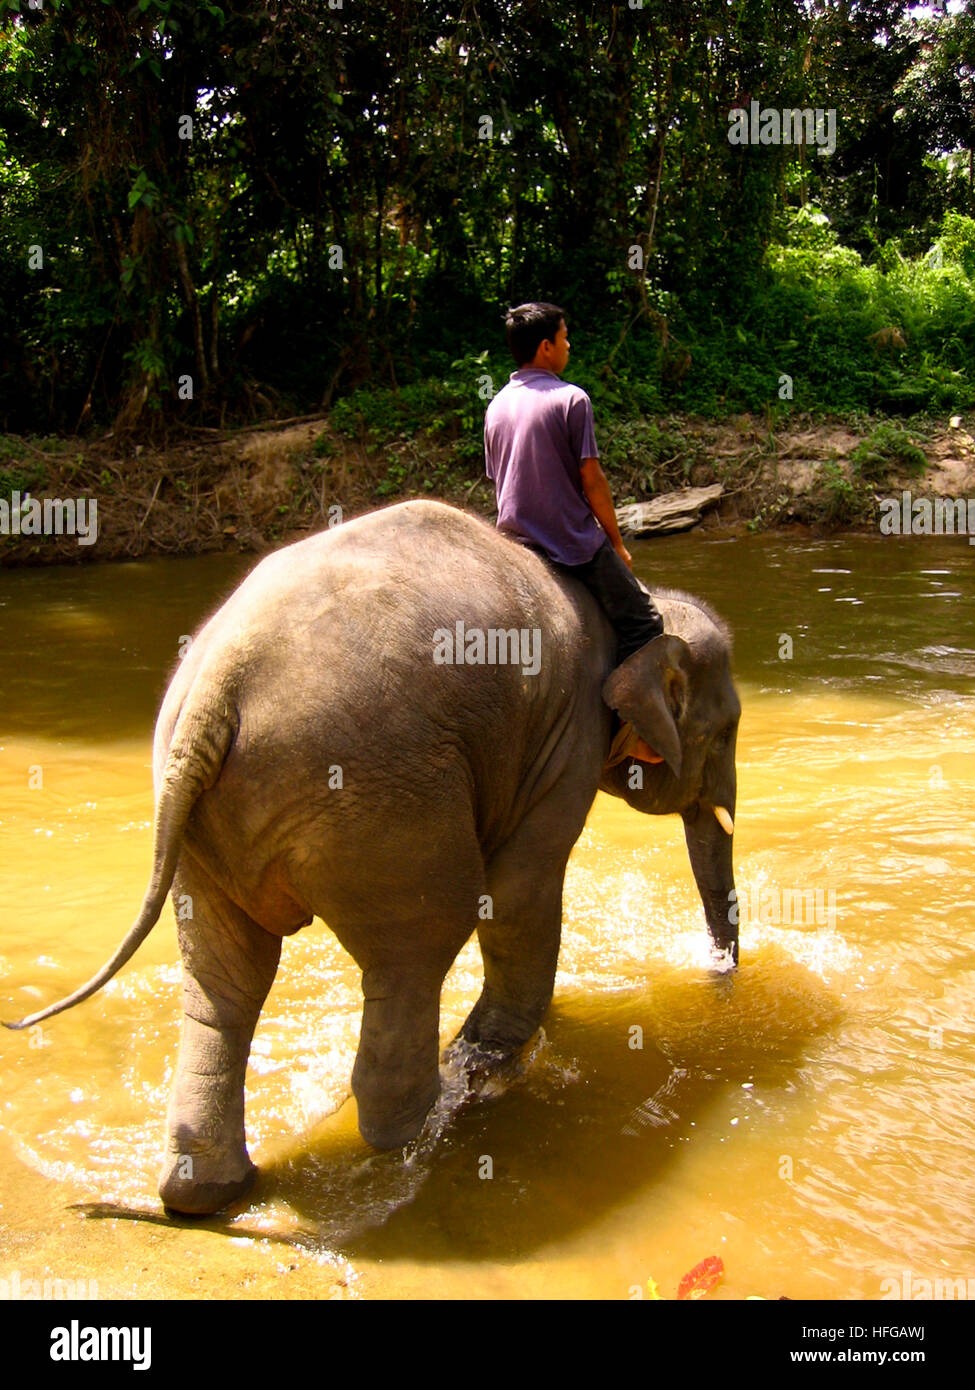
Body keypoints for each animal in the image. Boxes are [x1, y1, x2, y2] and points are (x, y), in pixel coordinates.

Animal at [5, 499, 740, 1215]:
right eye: (727, 728)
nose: (721, 976)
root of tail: (216, 687)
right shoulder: (568, 738)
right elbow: (517, 894)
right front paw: (495, 1059)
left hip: (203, 820)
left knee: (226, 980)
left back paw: (205, 1194)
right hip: (383, 797)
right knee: (419, 945)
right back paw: (427, 1129)